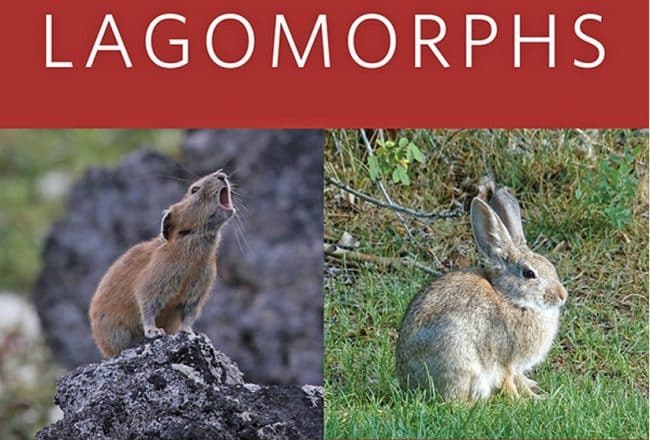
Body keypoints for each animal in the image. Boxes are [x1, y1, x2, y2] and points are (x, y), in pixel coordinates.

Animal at [395, 185, 567, 401]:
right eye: (529, 274)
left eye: (550, 266)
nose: (562, 295)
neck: (511, 300)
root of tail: (407, 382)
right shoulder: (506, 361)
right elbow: (509, 381)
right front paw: (527, 400)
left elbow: (519, 378)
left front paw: (534, 391)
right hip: (459, 358)